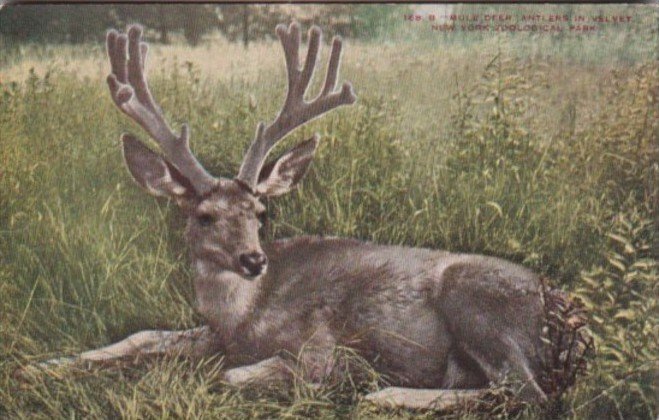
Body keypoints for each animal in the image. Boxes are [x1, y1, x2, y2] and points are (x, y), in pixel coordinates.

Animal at [24, 23, 590, 411]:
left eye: (260, 210)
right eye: (205, 215)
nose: (252, 259)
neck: (245, 315)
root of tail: (578, 330)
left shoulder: (322, 349)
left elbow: (230, 375)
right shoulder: (212, 333)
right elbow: (141, 336)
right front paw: (40, 366)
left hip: (479, 304)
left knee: (529, 396)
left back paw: (389, 398)